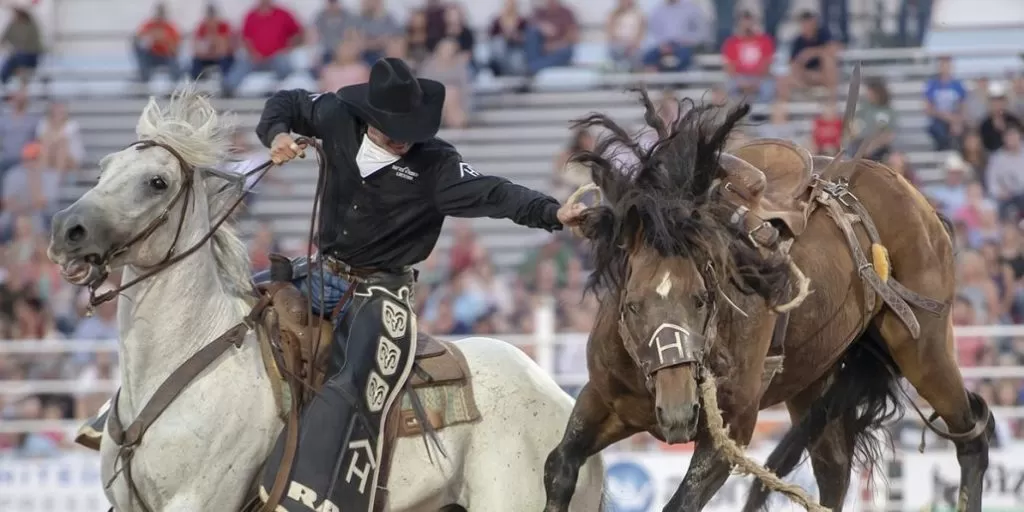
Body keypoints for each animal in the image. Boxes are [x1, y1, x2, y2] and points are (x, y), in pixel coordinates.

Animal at [48, 86, 602, 512]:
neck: (193, 353)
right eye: (103, 169)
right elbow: (297, 102)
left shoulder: (199, 499)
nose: (65, 230)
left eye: (157, 182)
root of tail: (561, 401)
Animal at [540, 89, 995, 512]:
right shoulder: (602, 401)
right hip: (815, 379)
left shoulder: (734, 429)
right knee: (834, 471)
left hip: (923, 348)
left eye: (701, 300)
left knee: (973, 433)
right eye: (632, 305)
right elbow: (559, 466)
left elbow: (679, 503)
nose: (677, 411)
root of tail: (915, 201)